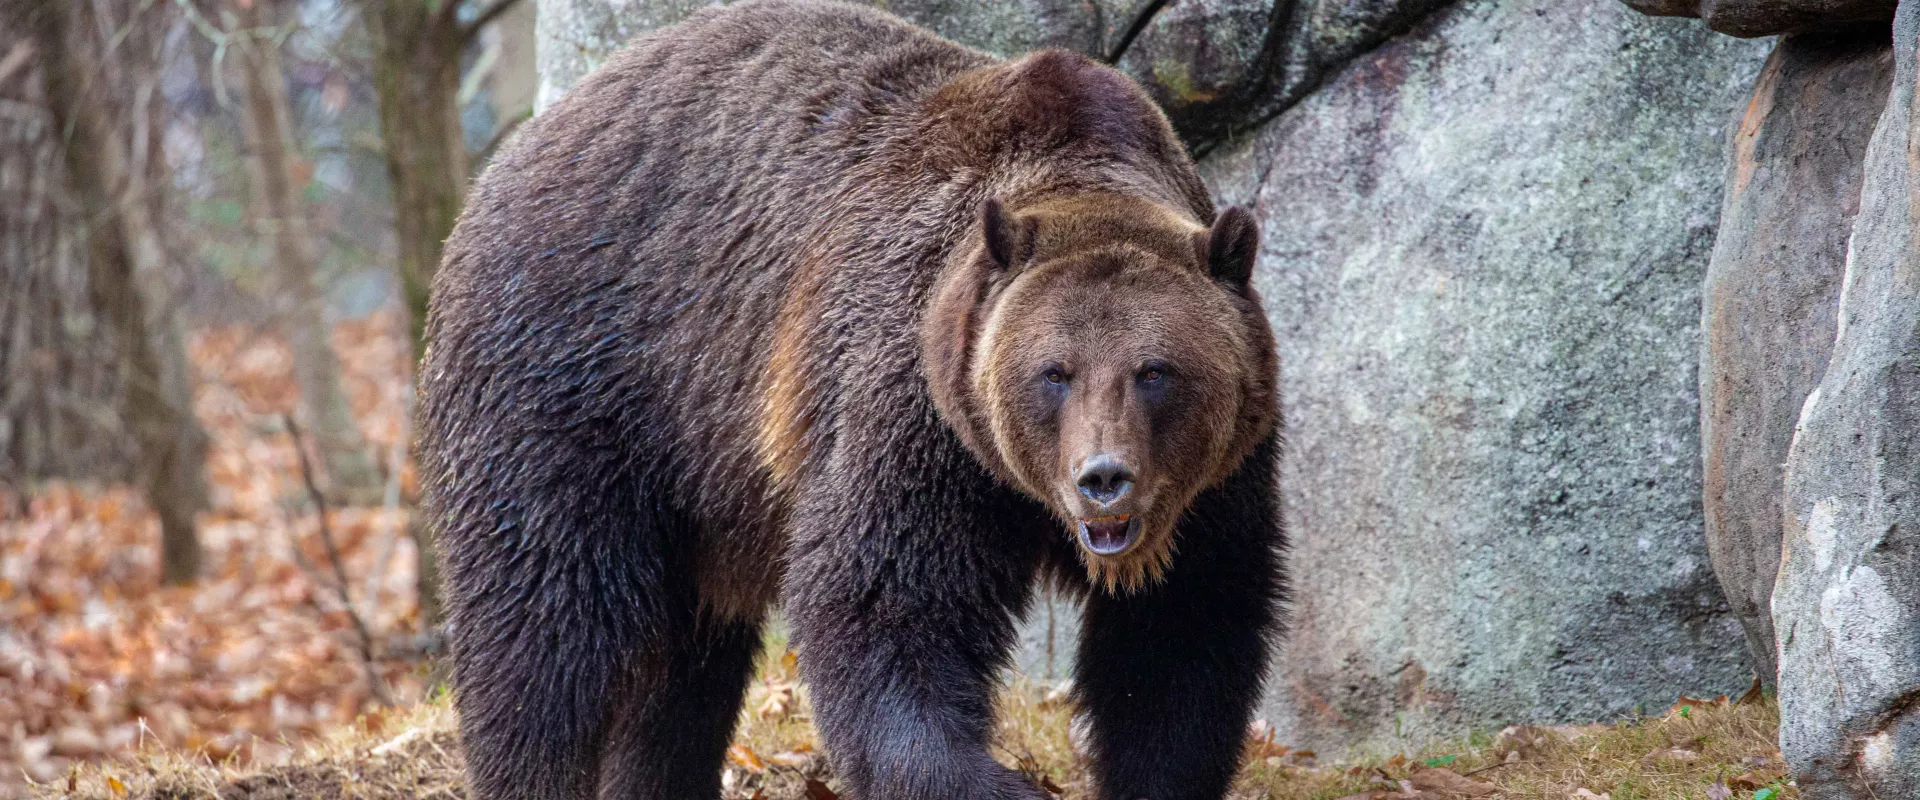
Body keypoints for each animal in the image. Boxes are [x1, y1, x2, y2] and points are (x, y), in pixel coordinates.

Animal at [418, 2, 1285, 799]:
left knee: (684, 667)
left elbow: (1185, 638)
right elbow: (884, 605)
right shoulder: (910, 407)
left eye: (1155, 370)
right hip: (578, 376)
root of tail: (514, 152)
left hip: (700, 482)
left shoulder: (1216, 486)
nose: (1103, 478)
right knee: (546, 621)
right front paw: (998, 782)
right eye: (1055, 372)